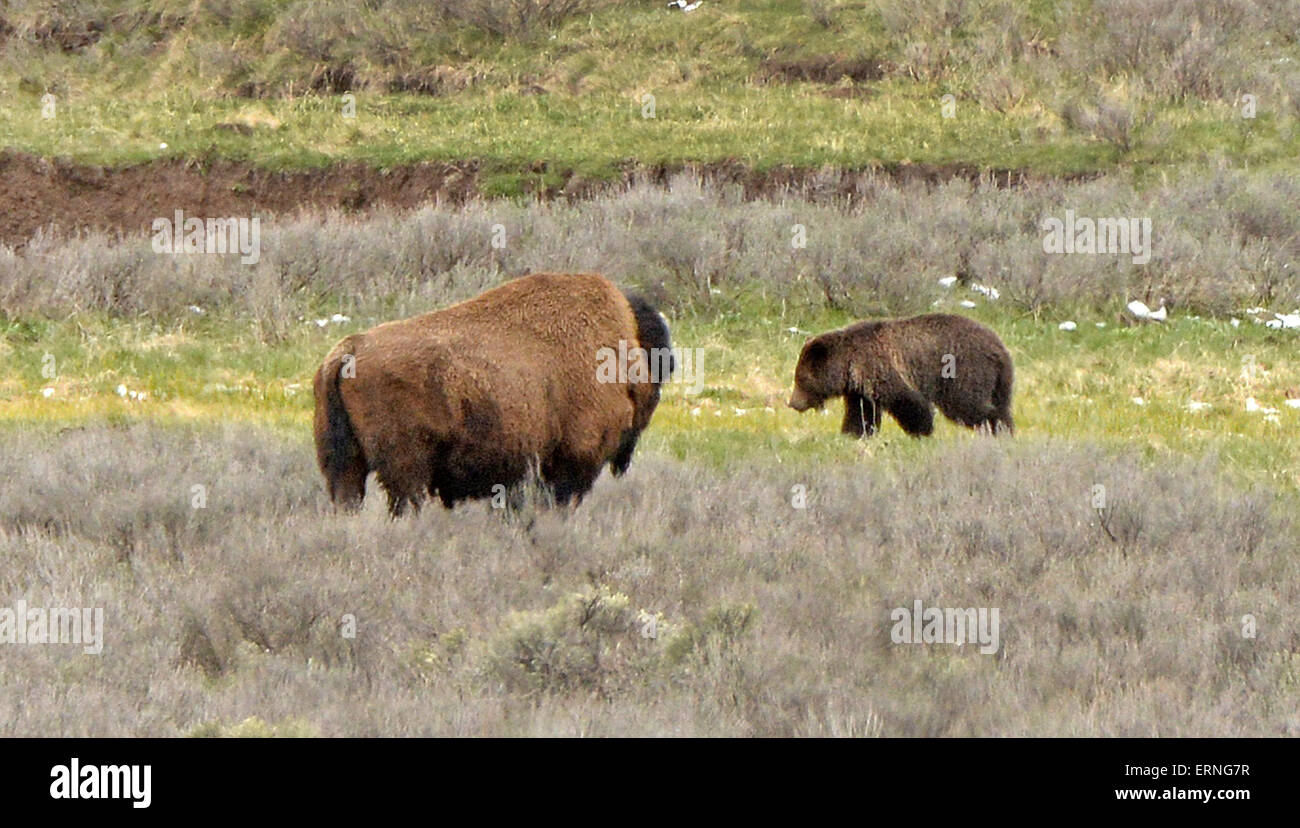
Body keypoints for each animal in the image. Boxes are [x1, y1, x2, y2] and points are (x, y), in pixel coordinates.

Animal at [788, 314, 1014, 438]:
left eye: (801, 379)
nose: (793, 403)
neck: (849, 364)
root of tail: (999, 349)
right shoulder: (860, 388)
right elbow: (861, 413)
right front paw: (853, 433)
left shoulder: (882, 367)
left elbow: (908, 402)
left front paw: (922, 431)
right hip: (998, 381)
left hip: (965, 370)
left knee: (968, 405)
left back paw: (998, 428)